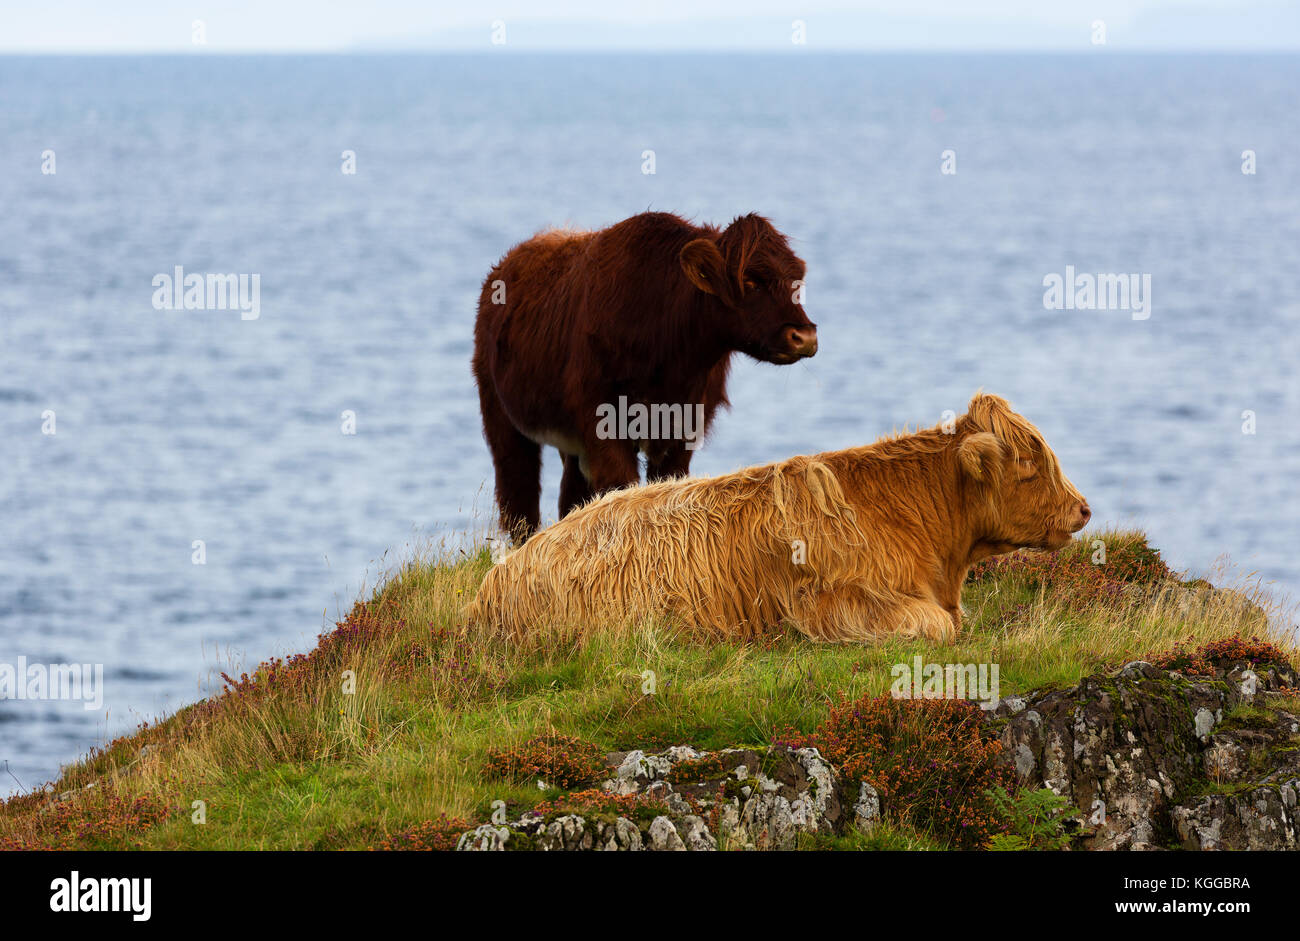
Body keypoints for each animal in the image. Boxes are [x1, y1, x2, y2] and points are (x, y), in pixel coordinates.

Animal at [472, 211, 818, 543]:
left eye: (796, 280)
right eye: (750, 280)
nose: (805, 336)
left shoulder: (682, 431)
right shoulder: (604, 427)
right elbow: (619, 492)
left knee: (569, 497)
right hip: (501, 418)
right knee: (519, 500)